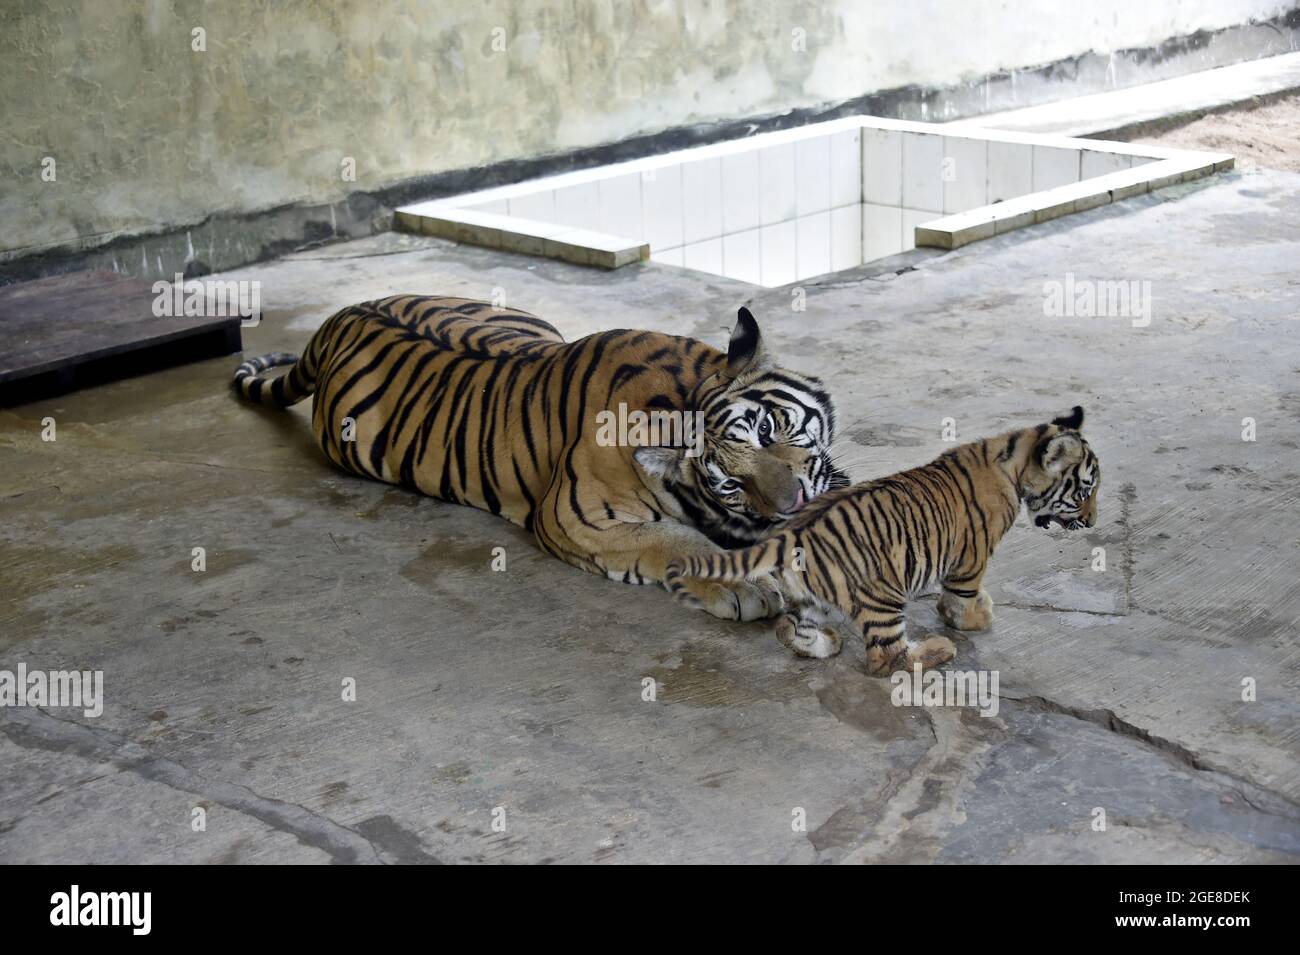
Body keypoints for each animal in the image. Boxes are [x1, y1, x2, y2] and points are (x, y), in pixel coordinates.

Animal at [233, 296, 847, 619]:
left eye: (767, 429)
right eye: (730, 484)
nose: (791, 505)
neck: (682, 394)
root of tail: (340, 315)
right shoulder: (575, 517)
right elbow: (676, 541)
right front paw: (748, 586)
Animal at [665, 407, 1099, 673]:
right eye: (1084, 491)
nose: (1093, 520)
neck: (1013, 457)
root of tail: (792, 532)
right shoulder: (970, 556)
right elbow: (964, 595)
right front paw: (975, 618)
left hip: (809, 598)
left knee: (790, 629)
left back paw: (826, 644)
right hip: (882, 596)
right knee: (886, 658)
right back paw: (937, 650)